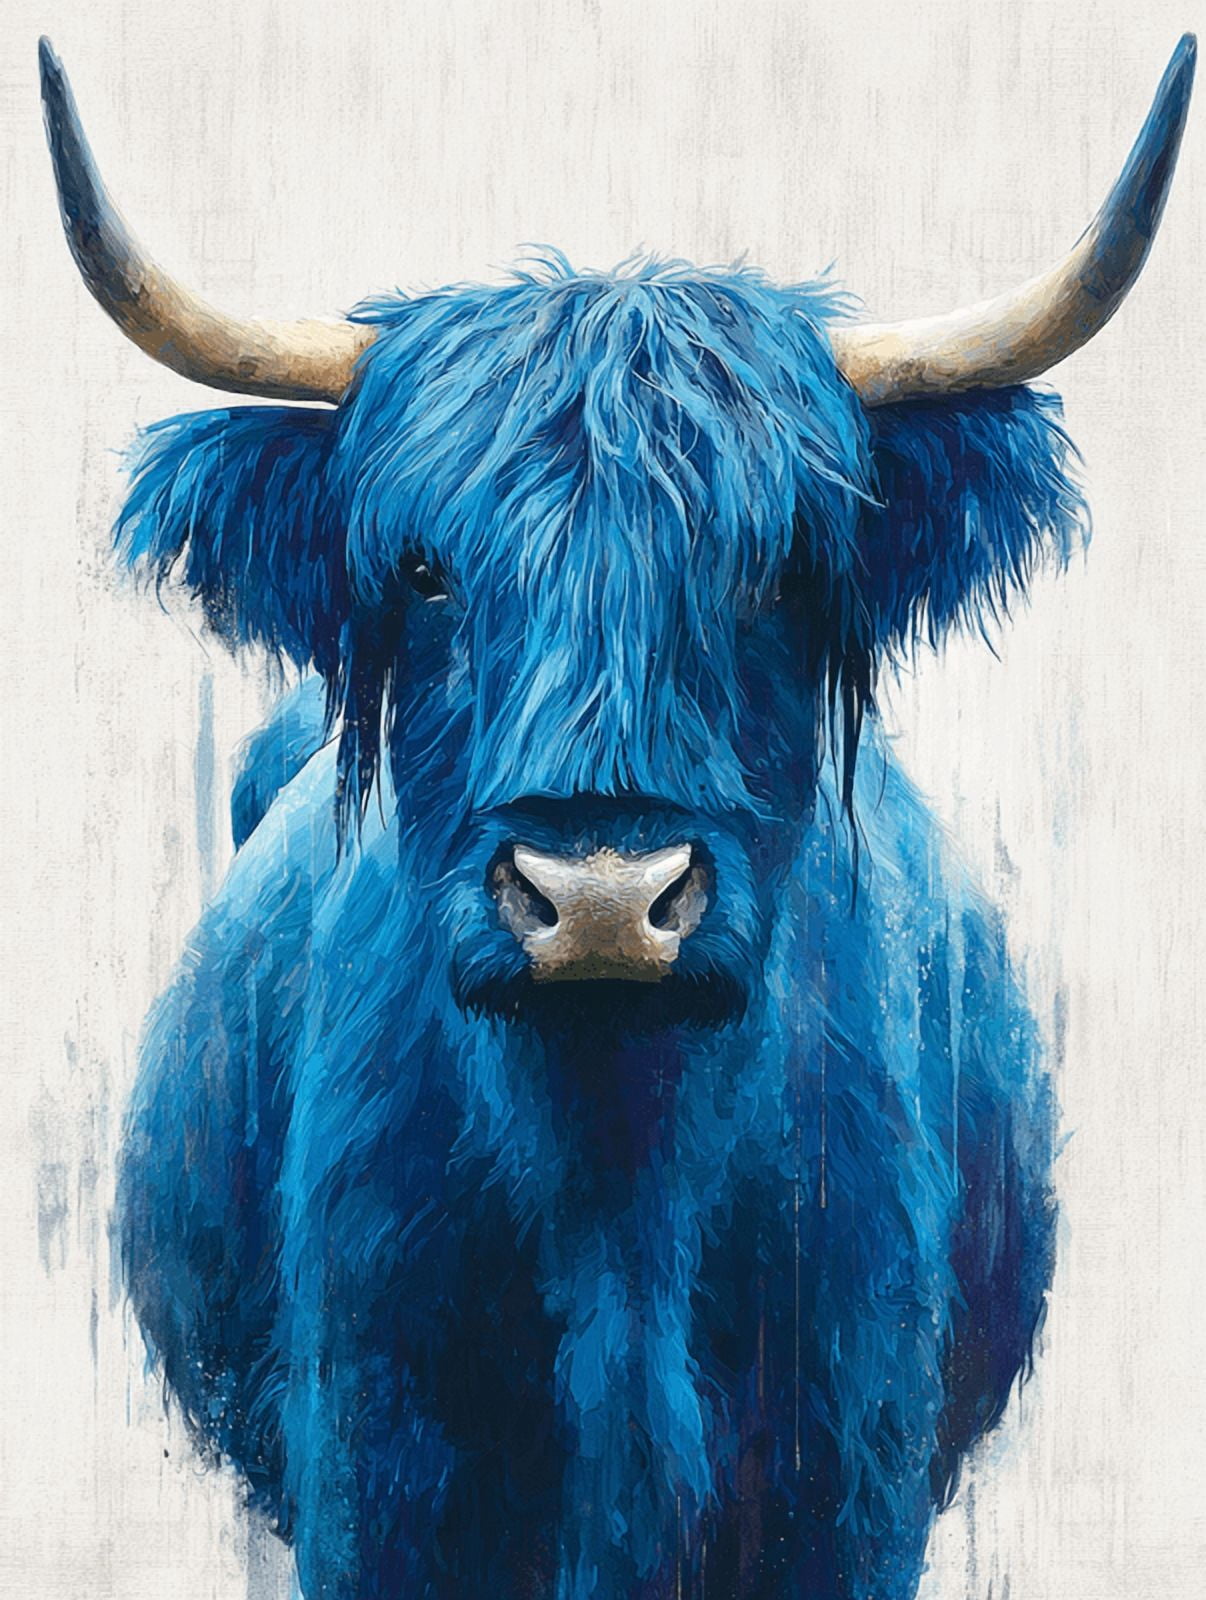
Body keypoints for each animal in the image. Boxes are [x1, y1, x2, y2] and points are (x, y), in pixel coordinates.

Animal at [40, 33, 1194, 1600]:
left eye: (777, 568)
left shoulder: (844, 1486)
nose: (598, 900)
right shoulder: (379, 1481)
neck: (616, 1185)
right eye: (424, 568)